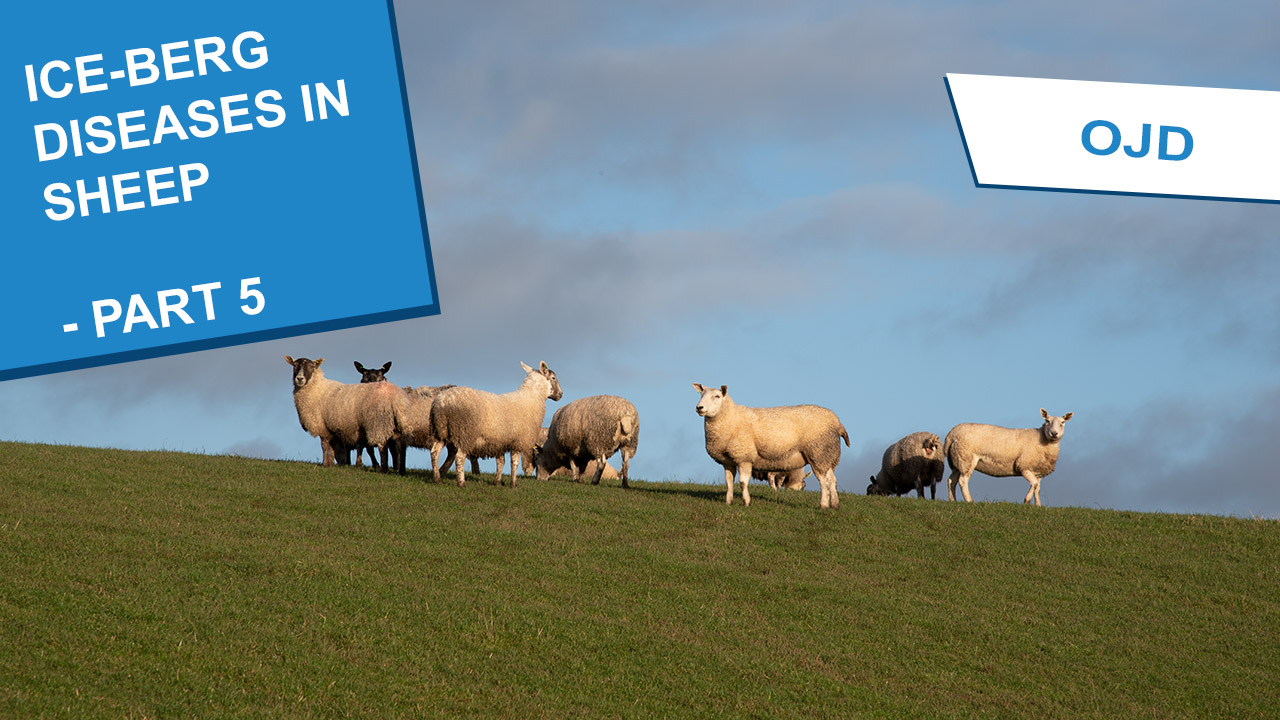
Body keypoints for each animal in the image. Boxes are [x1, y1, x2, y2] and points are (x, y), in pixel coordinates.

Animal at [430, 361, 562, 487]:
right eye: (553, 378)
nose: (561, 394)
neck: (531, 398)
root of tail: (443, 402)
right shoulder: (518, 441)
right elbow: (514, 462)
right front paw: (513, 484)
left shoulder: (499, 442)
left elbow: (501, 462)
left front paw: (497, 482)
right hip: (465, 433)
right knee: (459, 457)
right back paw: (461, 483)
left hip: (441, 432)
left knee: (434, 453)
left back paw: (437, 479)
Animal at [693, 383, 849, 509]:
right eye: (701, 394)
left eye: (717, 396)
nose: (699, 407)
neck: (731, 417)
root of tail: (837, 422)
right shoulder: (728, 461)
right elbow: (729, 482)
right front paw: (728, 502)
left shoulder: (744, 457)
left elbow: (743, 482)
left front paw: (746, 502)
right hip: (827, 455)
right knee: (832, 480)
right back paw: (835, 505)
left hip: (818, 452)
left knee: (823, 482)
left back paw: (823, 505)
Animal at [945, 408, 1074, 506]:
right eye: (1047, 421)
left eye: (1062, 422)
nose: (1054, 433)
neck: (1043, 440)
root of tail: (952, 434)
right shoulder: (1024, 466)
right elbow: (1034, 484)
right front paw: (1026, 501)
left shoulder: (1038, 471)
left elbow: (1037, 488)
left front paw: (1038, 505)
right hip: (967, 458)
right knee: (963, 481)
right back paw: (969, 500)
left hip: (957, 460)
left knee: (951, 480)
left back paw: (953, 500)